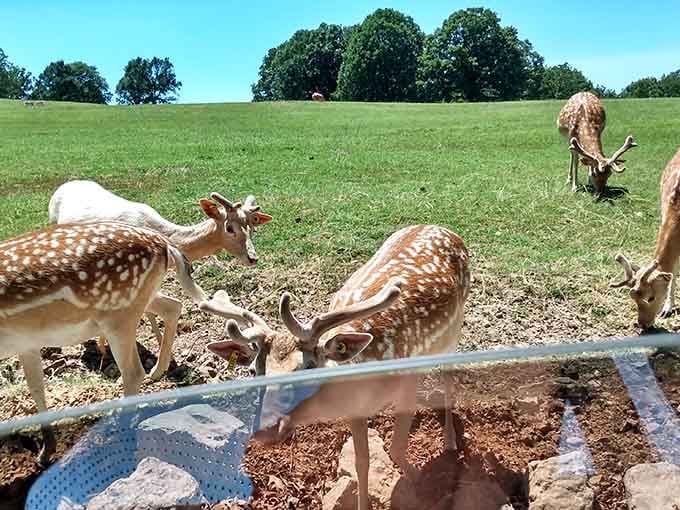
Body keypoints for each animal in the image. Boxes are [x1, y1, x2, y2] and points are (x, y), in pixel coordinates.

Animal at [0, 221, 212, 464]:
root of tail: (165, 244)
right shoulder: (27, 344)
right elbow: (36, 388)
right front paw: (46, 451)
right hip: (138, 301)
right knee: (173, 306)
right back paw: (158, 371)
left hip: (118, 315)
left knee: (133, 372)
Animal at [203, 225, 471, 510]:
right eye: (254, 371)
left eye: (308, 367)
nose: (266, 429)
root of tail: (443, 229)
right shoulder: (355, 411)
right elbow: (361, 462)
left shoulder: (407, 378)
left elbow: (397, 447)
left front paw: (425, 484)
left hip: (455, 329)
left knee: (448, 373)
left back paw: (450, 440)